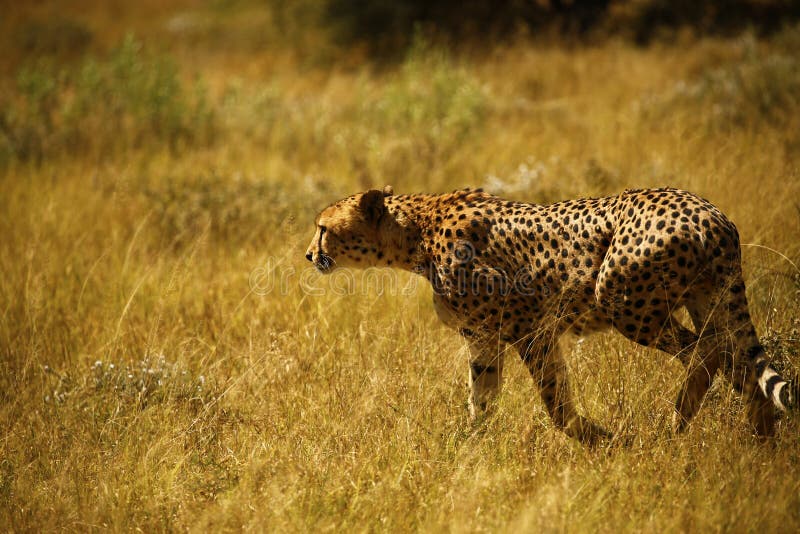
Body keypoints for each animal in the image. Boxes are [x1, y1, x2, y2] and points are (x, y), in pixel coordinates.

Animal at [305, 185, 797, 444]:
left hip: (623, 301)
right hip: (706, 300)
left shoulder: (529, 328)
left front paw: (597, 438)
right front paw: (472, 445)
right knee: (738, 361)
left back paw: (676, 420)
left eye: (323, 228)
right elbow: (482, 396)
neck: (416, 234)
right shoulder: (484, 337)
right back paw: (762, 438)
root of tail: (709, 212)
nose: (309, 255)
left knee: (707, 352)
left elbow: (554, 401)